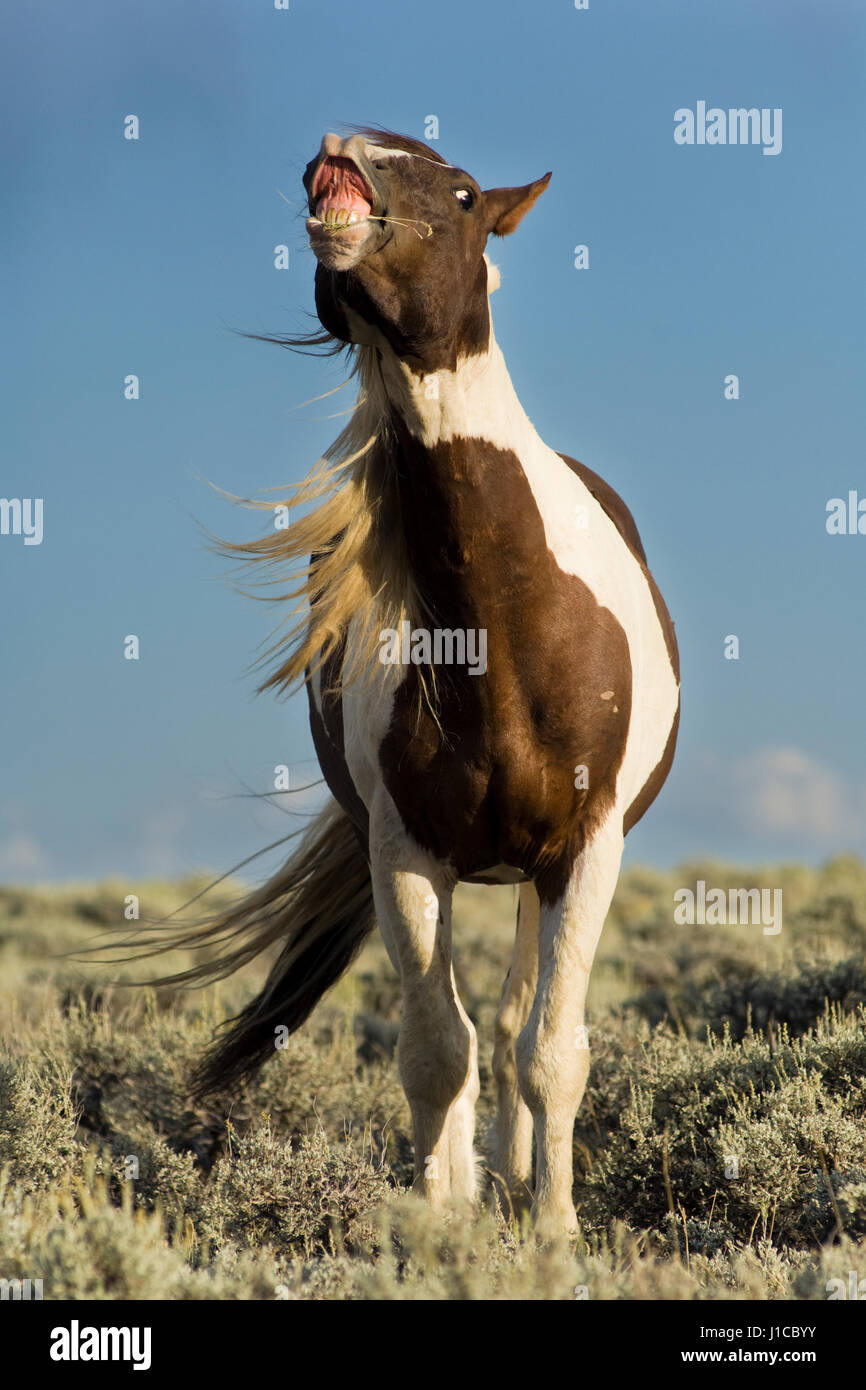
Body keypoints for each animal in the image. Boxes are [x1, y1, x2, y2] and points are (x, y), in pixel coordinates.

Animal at [165, 128, 680, 1240]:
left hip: (535, 873)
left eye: (463, 192)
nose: (337, 154)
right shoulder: (405, 853)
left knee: (516, 1021)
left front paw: (552, 1230)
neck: (505, 629)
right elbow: (437, 1052)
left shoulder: (585, 851)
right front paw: (444, 1224)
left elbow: (550, 1050)